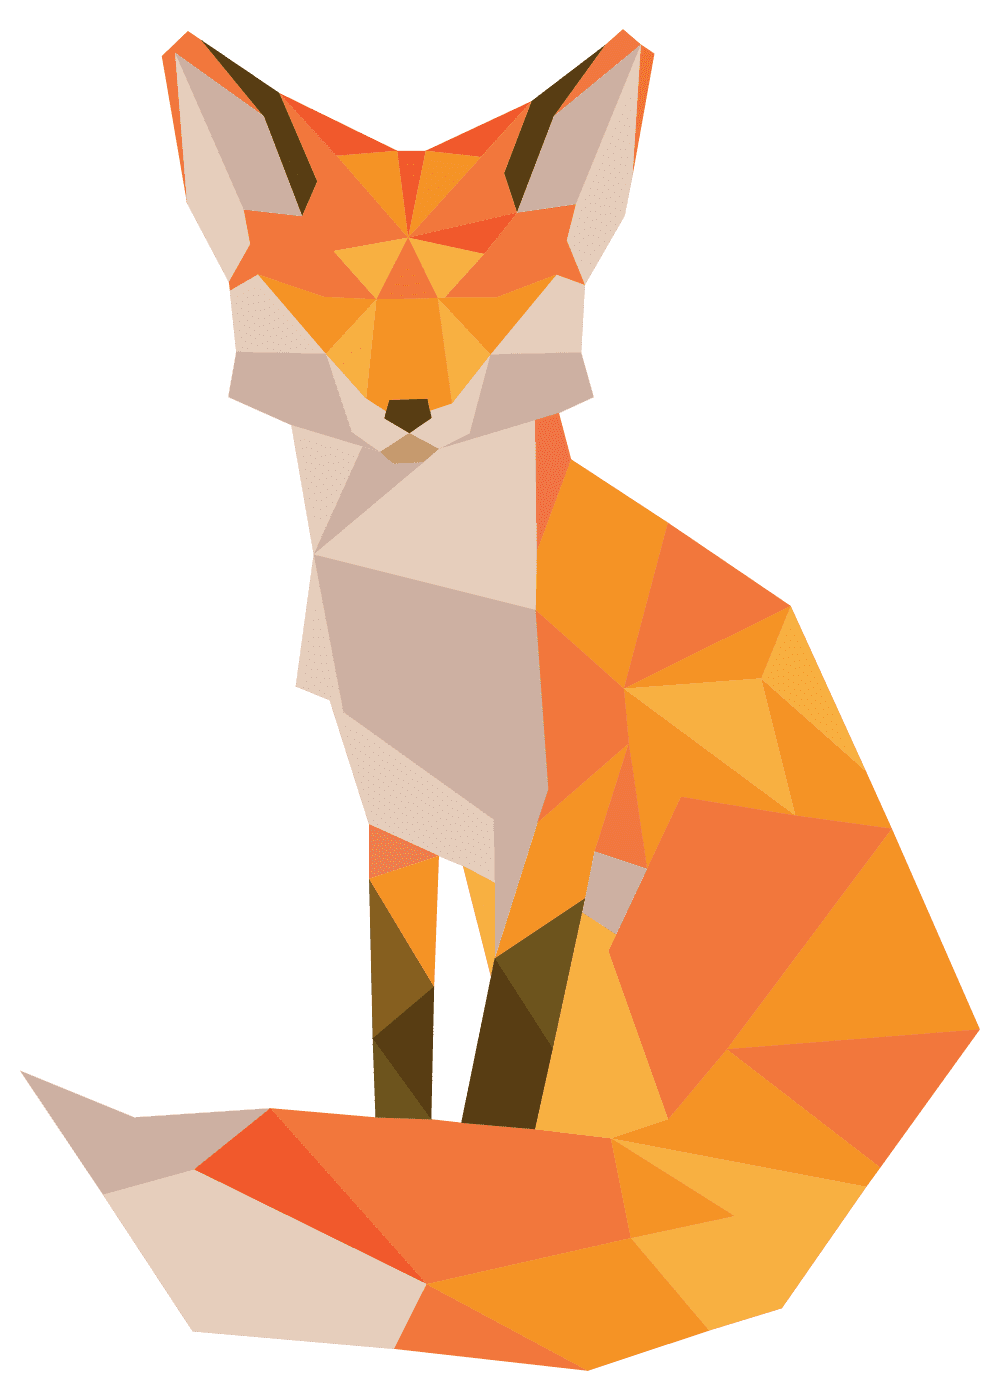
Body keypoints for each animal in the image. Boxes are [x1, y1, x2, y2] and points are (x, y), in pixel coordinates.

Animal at [23, 28, 978, 1372]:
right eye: (339, 299)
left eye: (486, 301)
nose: (406, 411)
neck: (425, 605)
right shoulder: (395, 809)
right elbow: (401, 1035)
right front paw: (407, 1149)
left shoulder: (558, 827)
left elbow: (503, 1072)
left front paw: (467, 1177)